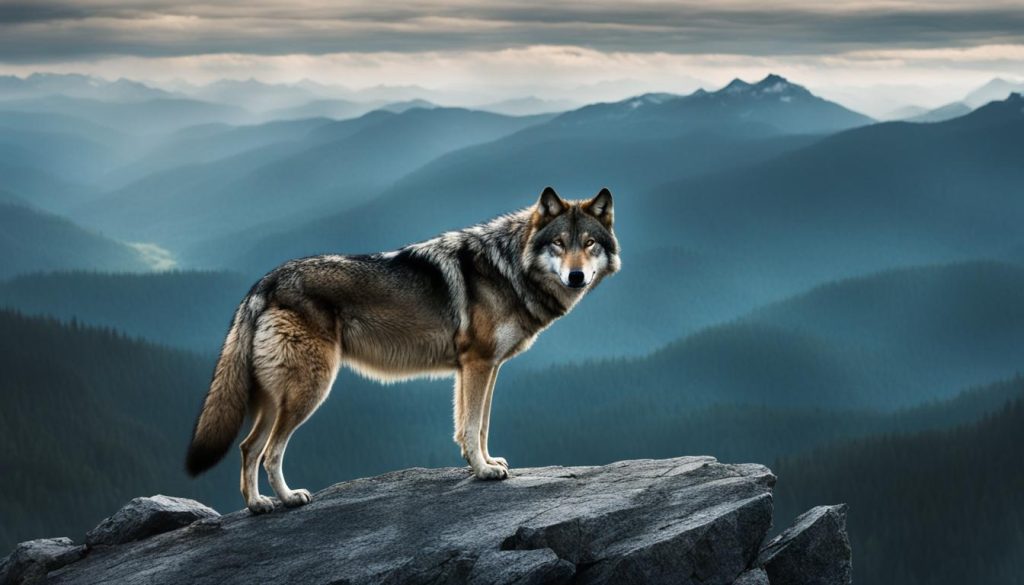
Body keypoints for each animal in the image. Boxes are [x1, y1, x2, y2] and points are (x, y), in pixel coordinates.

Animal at [186, 187, 620, 513]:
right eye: (559, 244)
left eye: (589, 244)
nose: (576, 276)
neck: (509, 268)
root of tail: (264, 283)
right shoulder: (477, 364)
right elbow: (471, 425)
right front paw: (483, 471)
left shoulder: (486, 368)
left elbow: (478, 425)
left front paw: (486, 462)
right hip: (309, 391)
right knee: (270, 452)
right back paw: (290, 498)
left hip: (272, 399)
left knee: (248, 448)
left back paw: (258, 505)